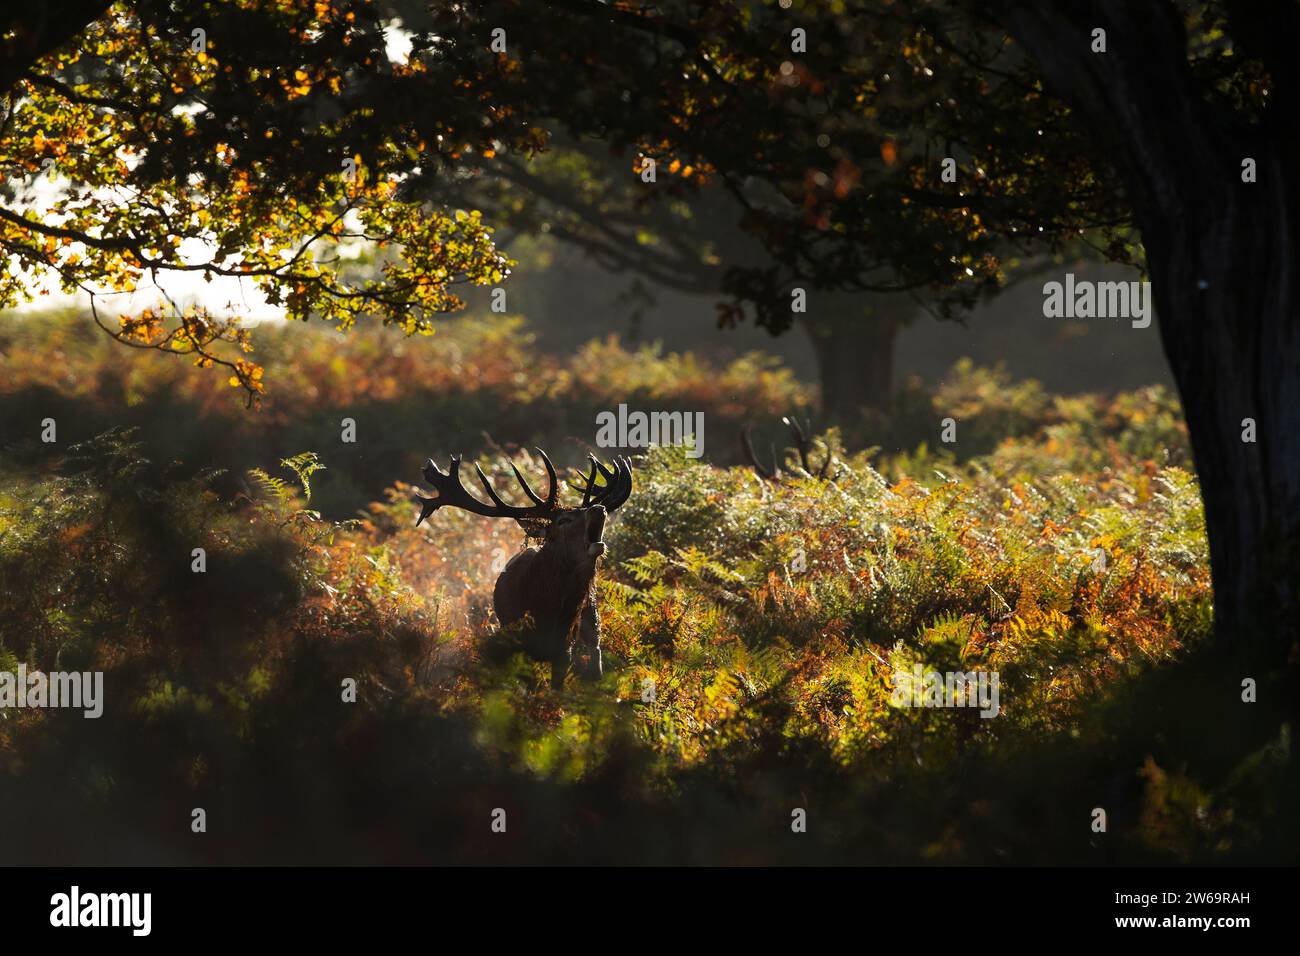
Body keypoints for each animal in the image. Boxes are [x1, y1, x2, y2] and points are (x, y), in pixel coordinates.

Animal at [413, 449, 633, 689]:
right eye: (563, 520)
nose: (599, 509)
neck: (545, 610)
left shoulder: (564, 649)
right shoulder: (519, 643)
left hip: (593, 622)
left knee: (595, 655)